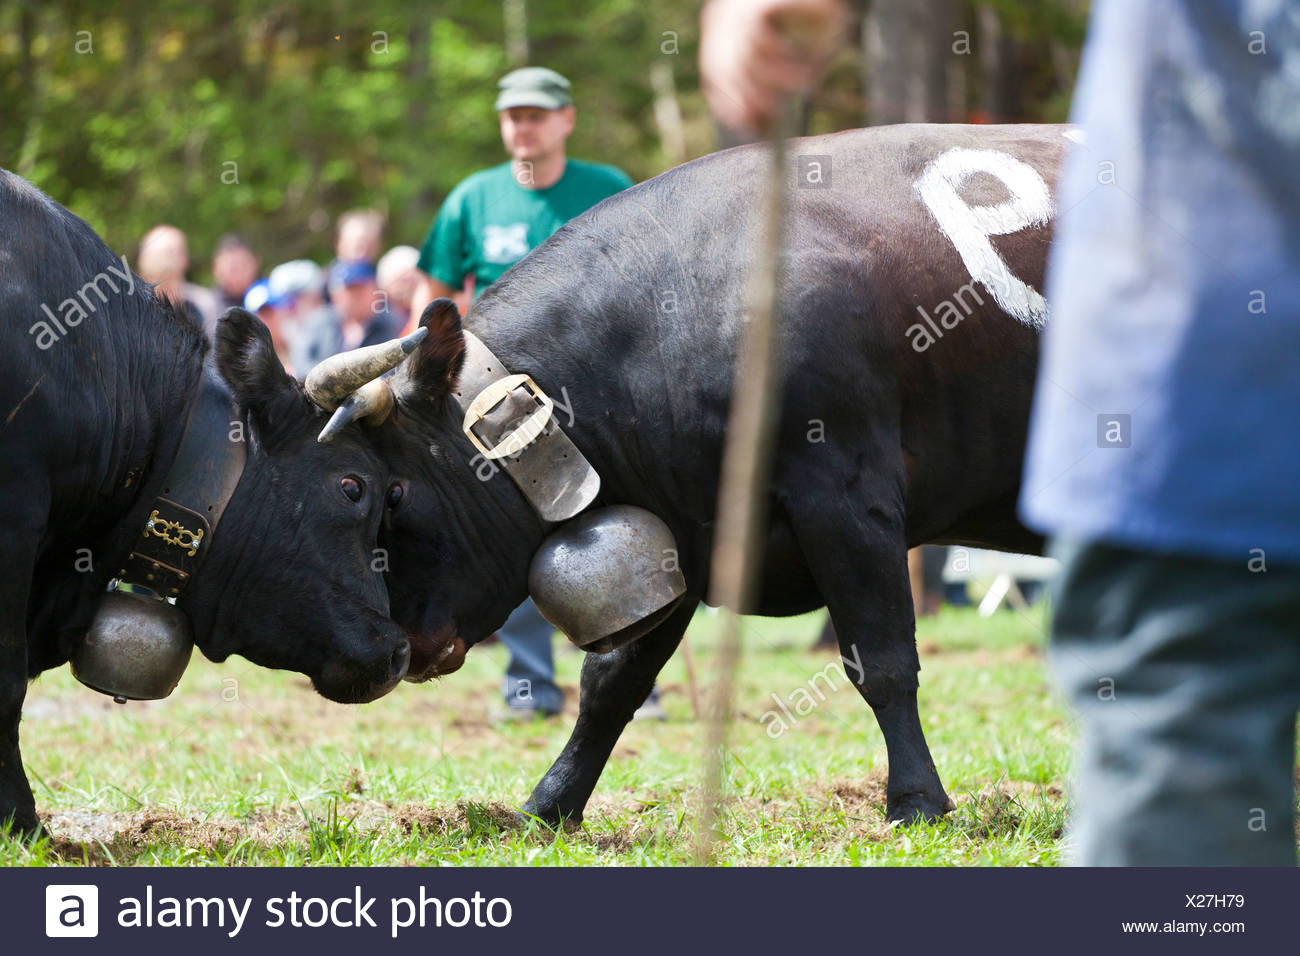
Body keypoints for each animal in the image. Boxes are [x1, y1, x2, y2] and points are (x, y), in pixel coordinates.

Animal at [370, 124, 1068, 826]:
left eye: (391, 491)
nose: (379, 651)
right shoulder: (678, 534)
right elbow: (611, 682)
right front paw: (548, 806)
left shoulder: (847, 496)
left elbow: (884, 661)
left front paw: (917, 800)